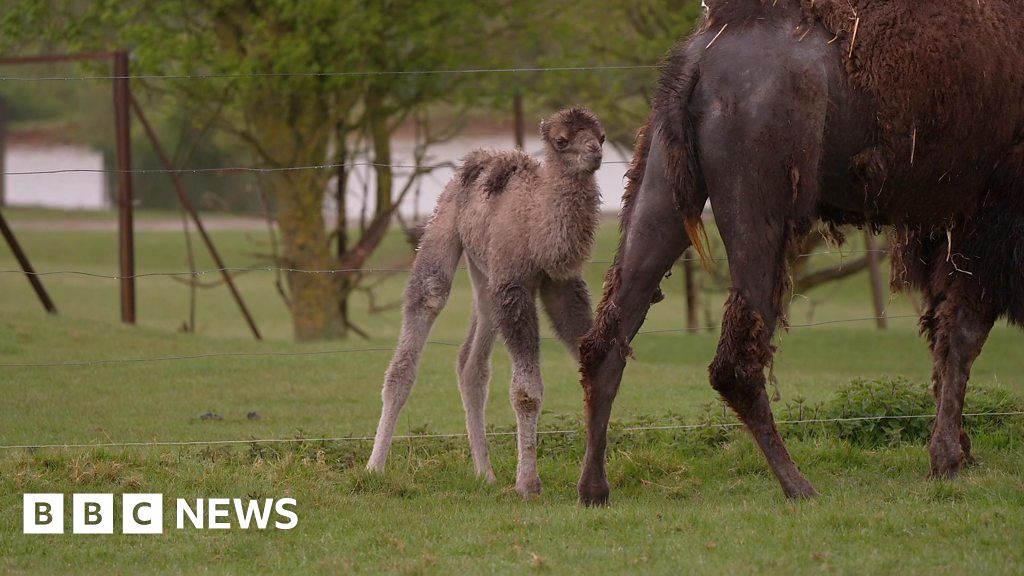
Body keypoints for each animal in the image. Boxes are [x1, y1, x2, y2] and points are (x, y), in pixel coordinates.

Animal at [367, 107, 605, 497]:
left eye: (601, 136)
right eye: (561, 140)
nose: (595, 153)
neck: (535, 224)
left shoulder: (560, 285)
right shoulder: (512, 284)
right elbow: (526, 392)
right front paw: (528, 484)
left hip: (484, 273)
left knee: (470, 365)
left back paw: (485, 474)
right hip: (444, 226)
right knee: (427, 301)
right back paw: (374, 467)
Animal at [577, 0, 1024, 505]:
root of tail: (702, 53)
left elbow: (947, 338)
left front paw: (958, 456)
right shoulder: (987, 227)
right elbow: (961, 336)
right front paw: (948, 462)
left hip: (661, 189)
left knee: (608, 338)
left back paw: (594, 489)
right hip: (760, 215)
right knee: (736, 362)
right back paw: (800, 486)